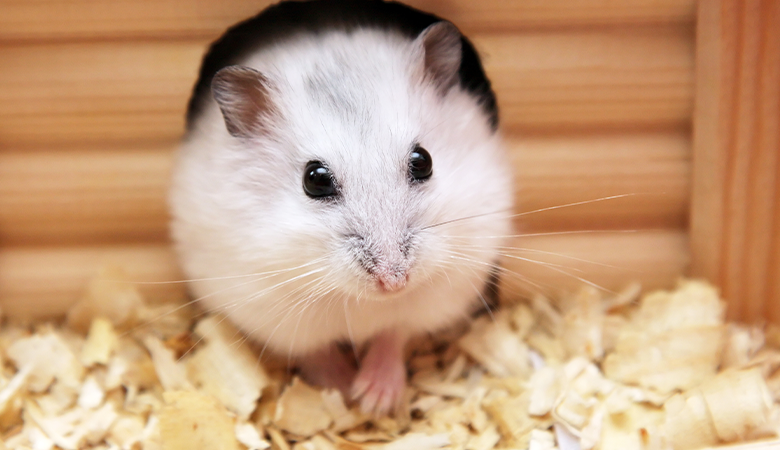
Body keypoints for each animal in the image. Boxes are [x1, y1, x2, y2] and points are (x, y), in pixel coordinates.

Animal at [169, 0, 513, 414]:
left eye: (423, 161)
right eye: (315, 180)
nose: (394, 282)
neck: (362, 301)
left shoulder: (431, 299)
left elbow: (393, 334)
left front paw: (373, 400)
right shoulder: (274, 312)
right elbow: (316, 353)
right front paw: (343, 391)